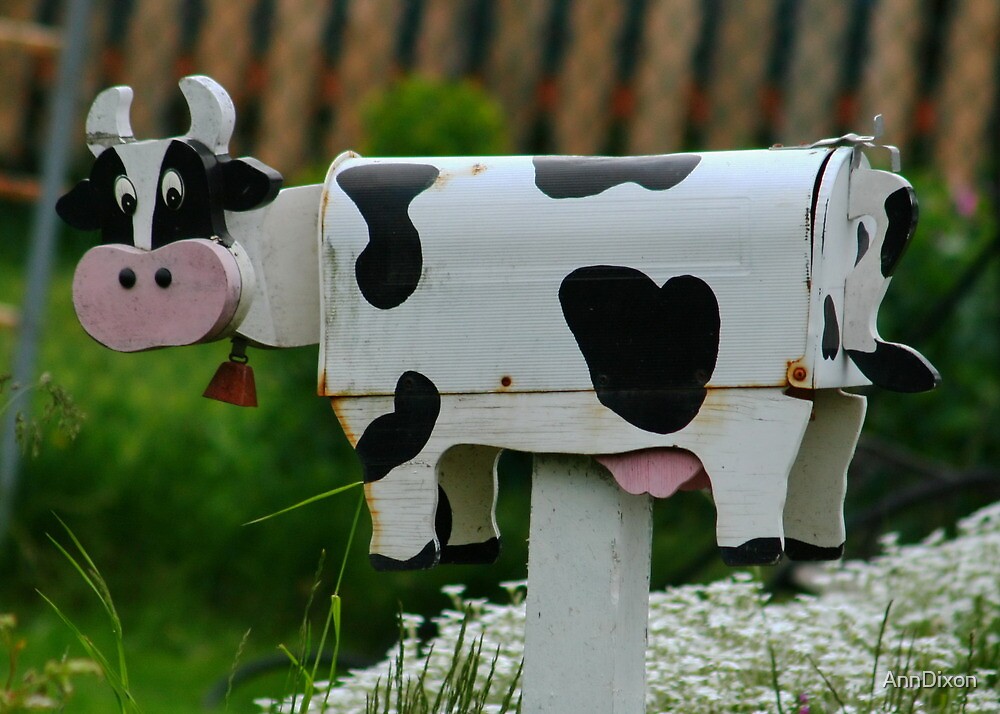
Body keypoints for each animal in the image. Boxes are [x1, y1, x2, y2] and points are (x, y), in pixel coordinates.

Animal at [57, 76, 938, 571]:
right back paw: (818, 547)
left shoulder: (376, 402)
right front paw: (470, 550)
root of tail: (845, 169)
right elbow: (464, 477)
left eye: (184, 195)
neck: (298, 245)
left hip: (756, 399)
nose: (137, 276)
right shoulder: (457, 404)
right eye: (118, 203)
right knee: (833, 449)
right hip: (833, 386)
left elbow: (397, 490)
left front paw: (400, 561)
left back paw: (756, 551)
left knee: (757, 471)